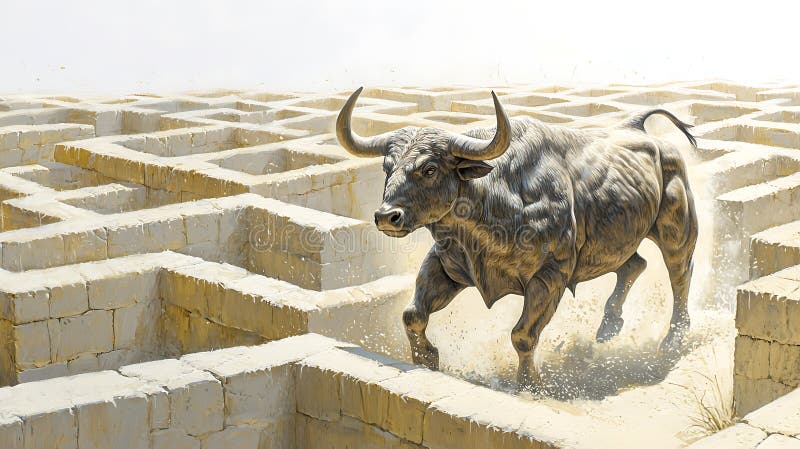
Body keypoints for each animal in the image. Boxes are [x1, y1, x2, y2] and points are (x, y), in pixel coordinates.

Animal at [335, 87, 698, 387]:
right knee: (633, 264)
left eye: (429, 168)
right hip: (616, 239)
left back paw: (673, 339)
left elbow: (522, 334)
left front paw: (529, 384)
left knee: (679, 275)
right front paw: (427, 359)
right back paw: (608, 326)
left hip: (677, 230)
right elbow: (412, 314)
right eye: (387, 167)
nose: (387, 217)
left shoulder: (550, 275)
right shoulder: (445, 264)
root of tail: (644, 133)